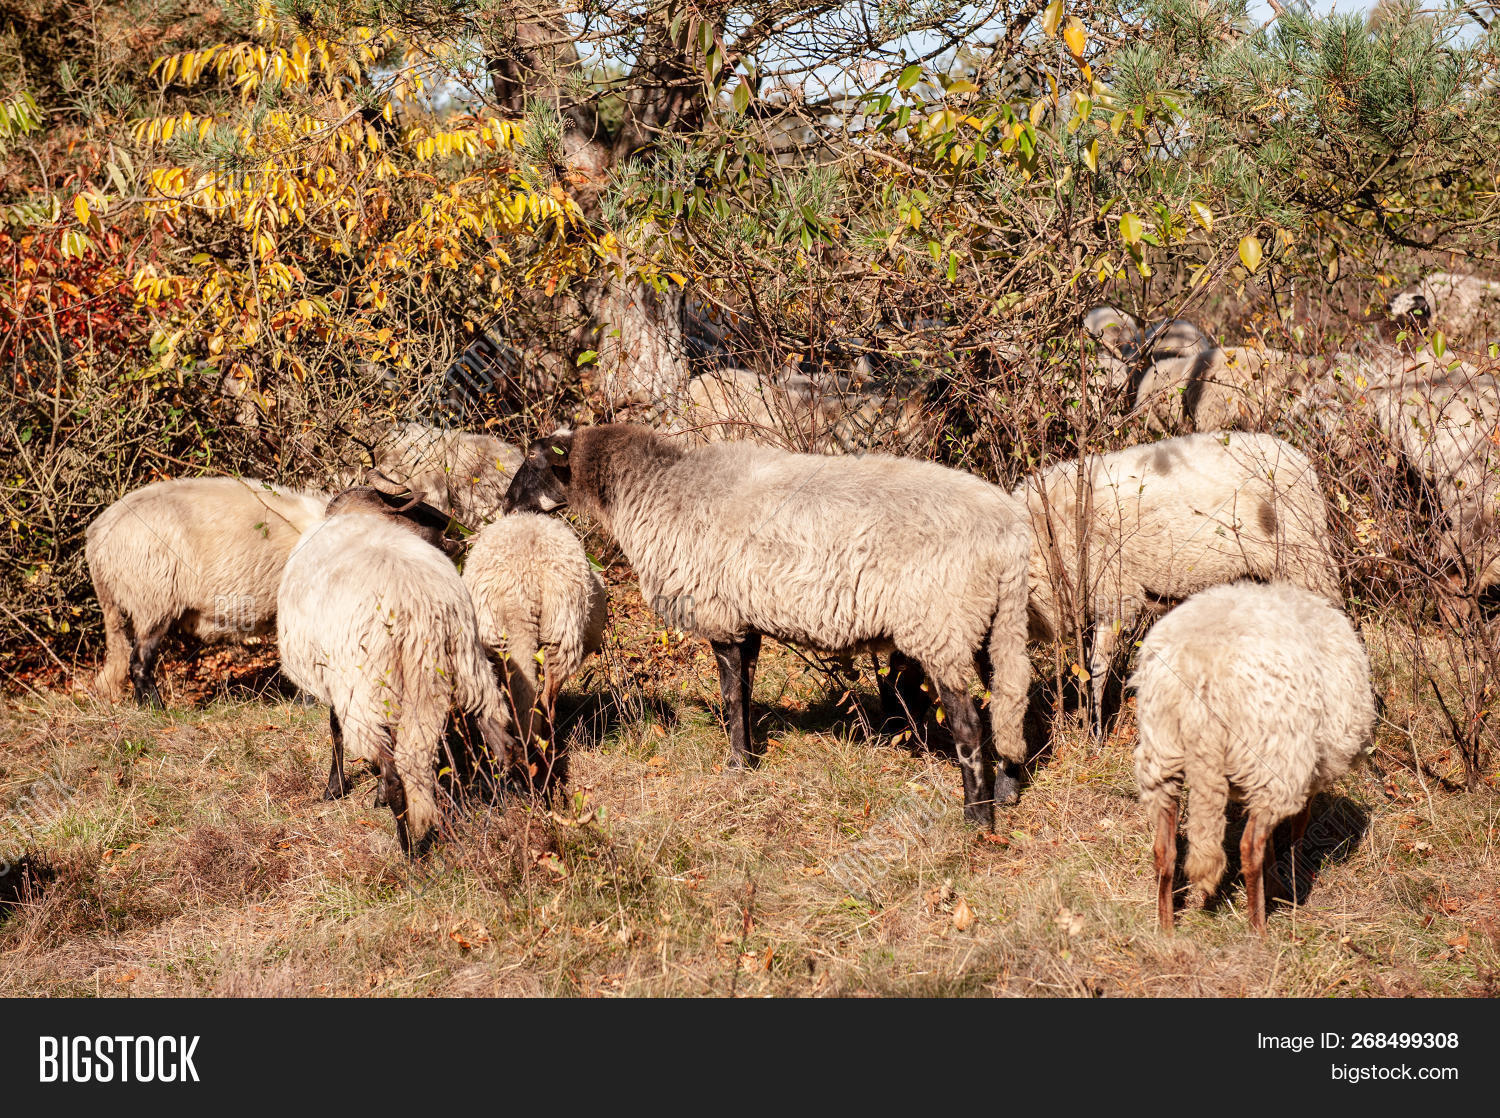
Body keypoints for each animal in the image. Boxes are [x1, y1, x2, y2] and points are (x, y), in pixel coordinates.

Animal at [85, 477, 330, 706]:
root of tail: (97, 535)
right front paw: (309, 704)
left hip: (119, 603)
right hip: (152, 600)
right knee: (139, 661)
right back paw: (155, 707)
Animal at [277, 495, 514, 853]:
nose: (458, 538)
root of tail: (418, 607)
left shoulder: (339, 680)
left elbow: (335, 730)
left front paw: (334, 789)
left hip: (367, 685)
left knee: (395, 778)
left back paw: (409, 854)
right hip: (468, 661)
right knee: (498, 737)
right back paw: (514, 807)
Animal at [502, 423, 1033, 829]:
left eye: (532, 459)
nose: (505, 508)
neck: (656, 488)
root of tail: (1008, 535)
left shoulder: (719, 613)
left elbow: (730, 696)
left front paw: (736, 767)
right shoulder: (745, 617)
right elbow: (746, 690)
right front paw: (748, 759)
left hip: (942, 624)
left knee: (970, 724)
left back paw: (976, 818)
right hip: (996, 623)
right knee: (1010, 703)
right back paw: (1007, 790)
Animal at [1129, 581, 1374, 933]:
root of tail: (1201, 673)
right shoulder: (1308, 772)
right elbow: (1297, 829)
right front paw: (1288, 885)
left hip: (1161, 754)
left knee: (1165, 848)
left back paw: (1166, 929)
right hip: (1274, 758)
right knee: (1250, 846)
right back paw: (1258, 929)